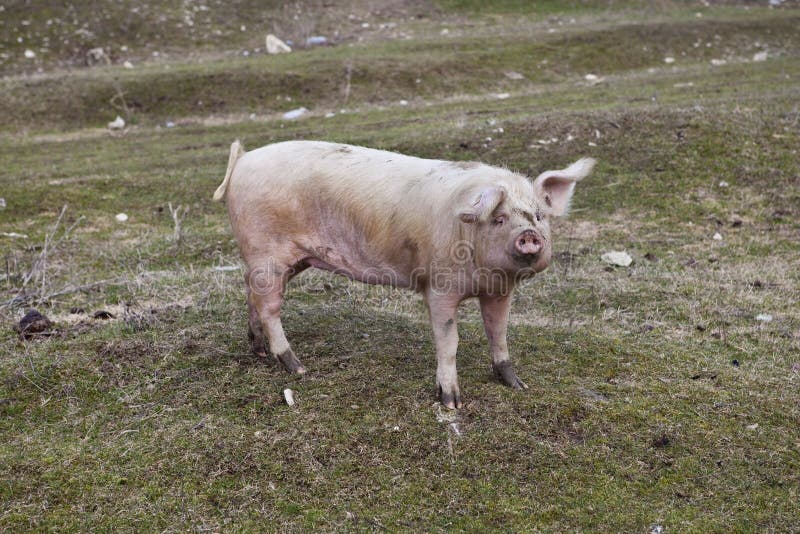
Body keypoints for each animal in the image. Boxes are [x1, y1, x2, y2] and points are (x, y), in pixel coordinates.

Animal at [213, 140, 594, 409]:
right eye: (499, 219)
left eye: (538, 216)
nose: (529, 235)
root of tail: (243, 159)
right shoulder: (439, 287)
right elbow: (449, 341)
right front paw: (451, 404)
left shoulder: (501, 290)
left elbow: (498, 332)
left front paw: (517, 384)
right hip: (267, 252)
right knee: (270, 307)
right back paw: (297, 367)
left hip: (285, 261)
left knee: (251, 292)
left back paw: (259, 351)